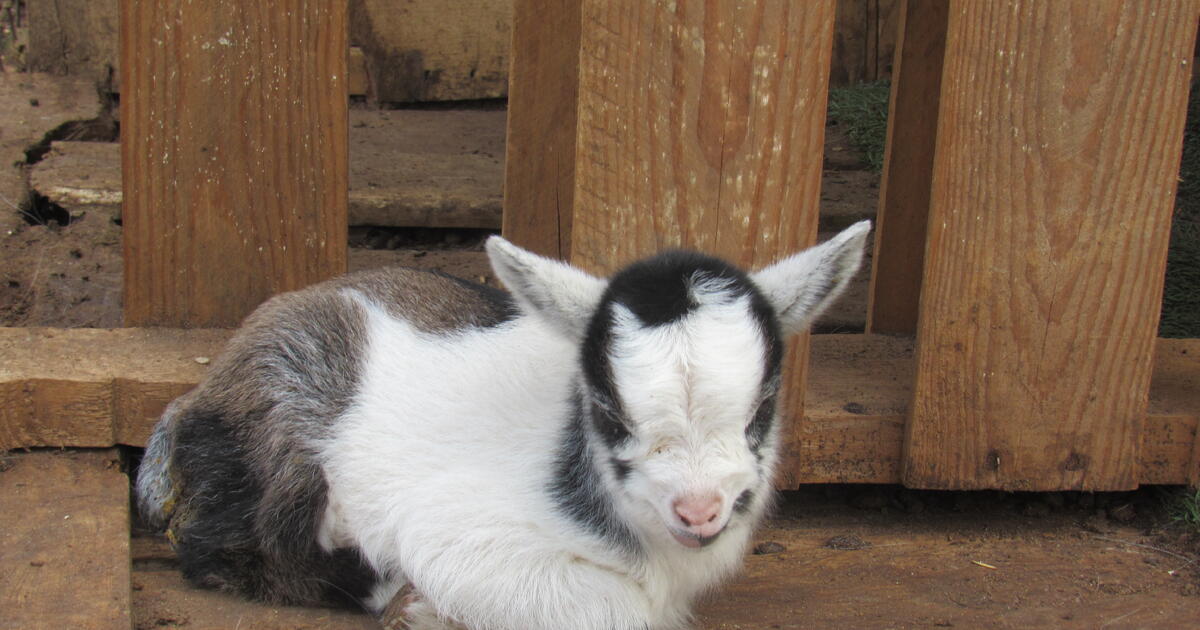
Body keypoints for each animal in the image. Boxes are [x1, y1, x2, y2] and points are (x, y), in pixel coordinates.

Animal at [136, 221, 870, 630]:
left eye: (763, 404)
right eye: (608, 410)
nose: (699, 511)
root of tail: (197, 394)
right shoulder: (458, 536)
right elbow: (623, 615)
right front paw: (423, 610)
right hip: (284, 456)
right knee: (218, 546)